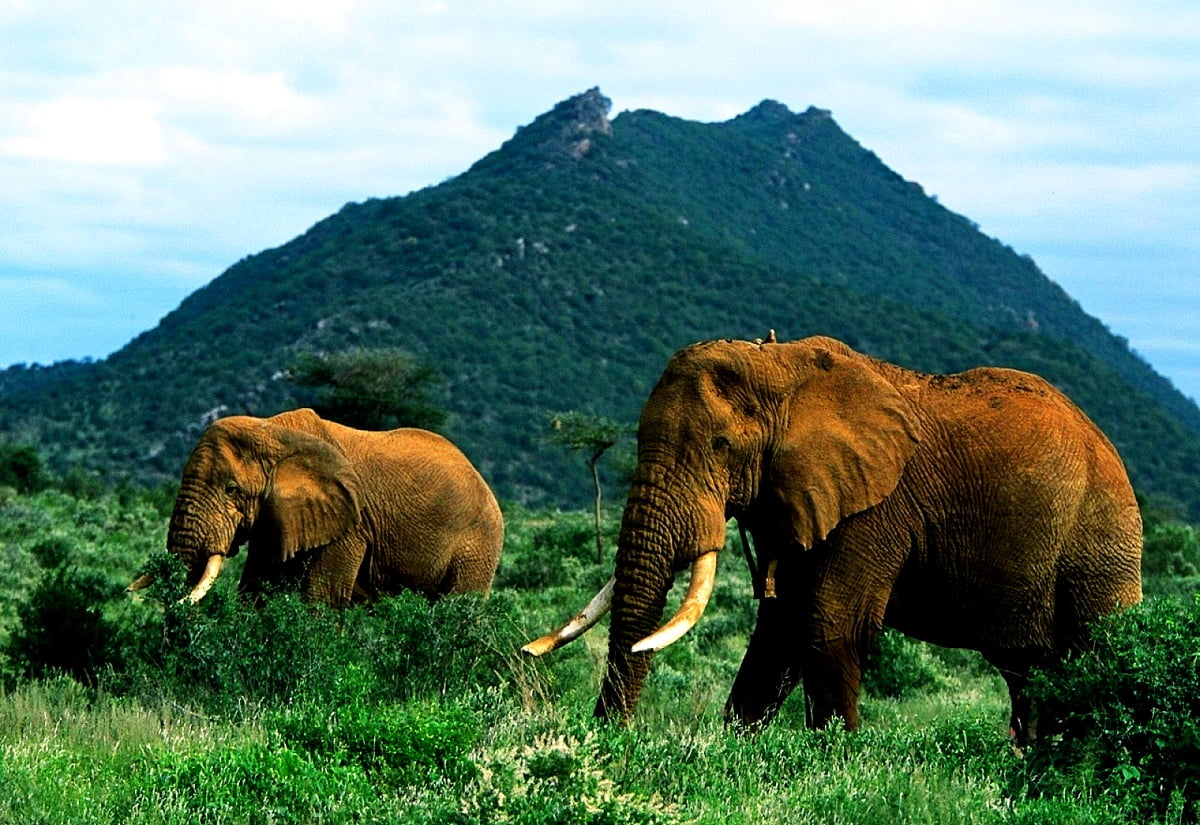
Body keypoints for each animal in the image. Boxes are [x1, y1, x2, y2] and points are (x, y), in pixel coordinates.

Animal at [129, 408, 504, 606]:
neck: (273, 432)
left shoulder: (350, 523)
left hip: (479, 543)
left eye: (231, 489)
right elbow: (257, 588)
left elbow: (320, 596)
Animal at [525, 335, 1142, 738]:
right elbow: (778, 629)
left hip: (1102, 538)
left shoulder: (877, 505)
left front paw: (832, 760)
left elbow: (827, 621)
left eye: (721, 446)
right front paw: (735, 749)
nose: (611, 737)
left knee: (1099, 651)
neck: (780, 366)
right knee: (1028, 671)